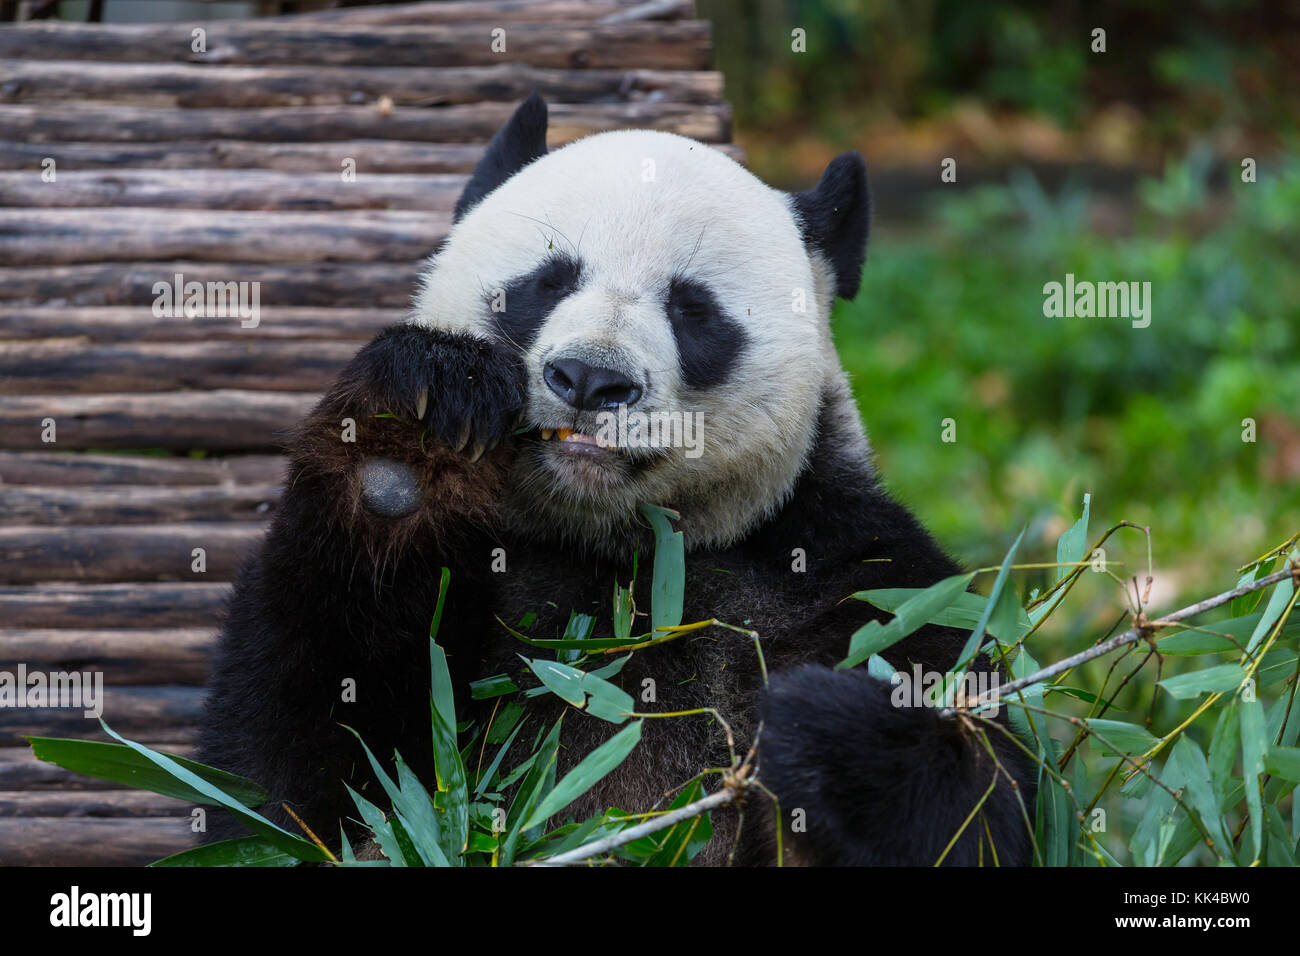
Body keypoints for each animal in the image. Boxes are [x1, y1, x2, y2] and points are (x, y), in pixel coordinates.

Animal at [199, 94, 1034, 866]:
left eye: (693, 309)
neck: (624, 561)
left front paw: (820, 728)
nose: (591, 379)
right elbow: (300, 779)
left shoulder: (848, 572)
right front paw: (406, 446)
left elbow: (990, 800)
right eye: (545, 281)